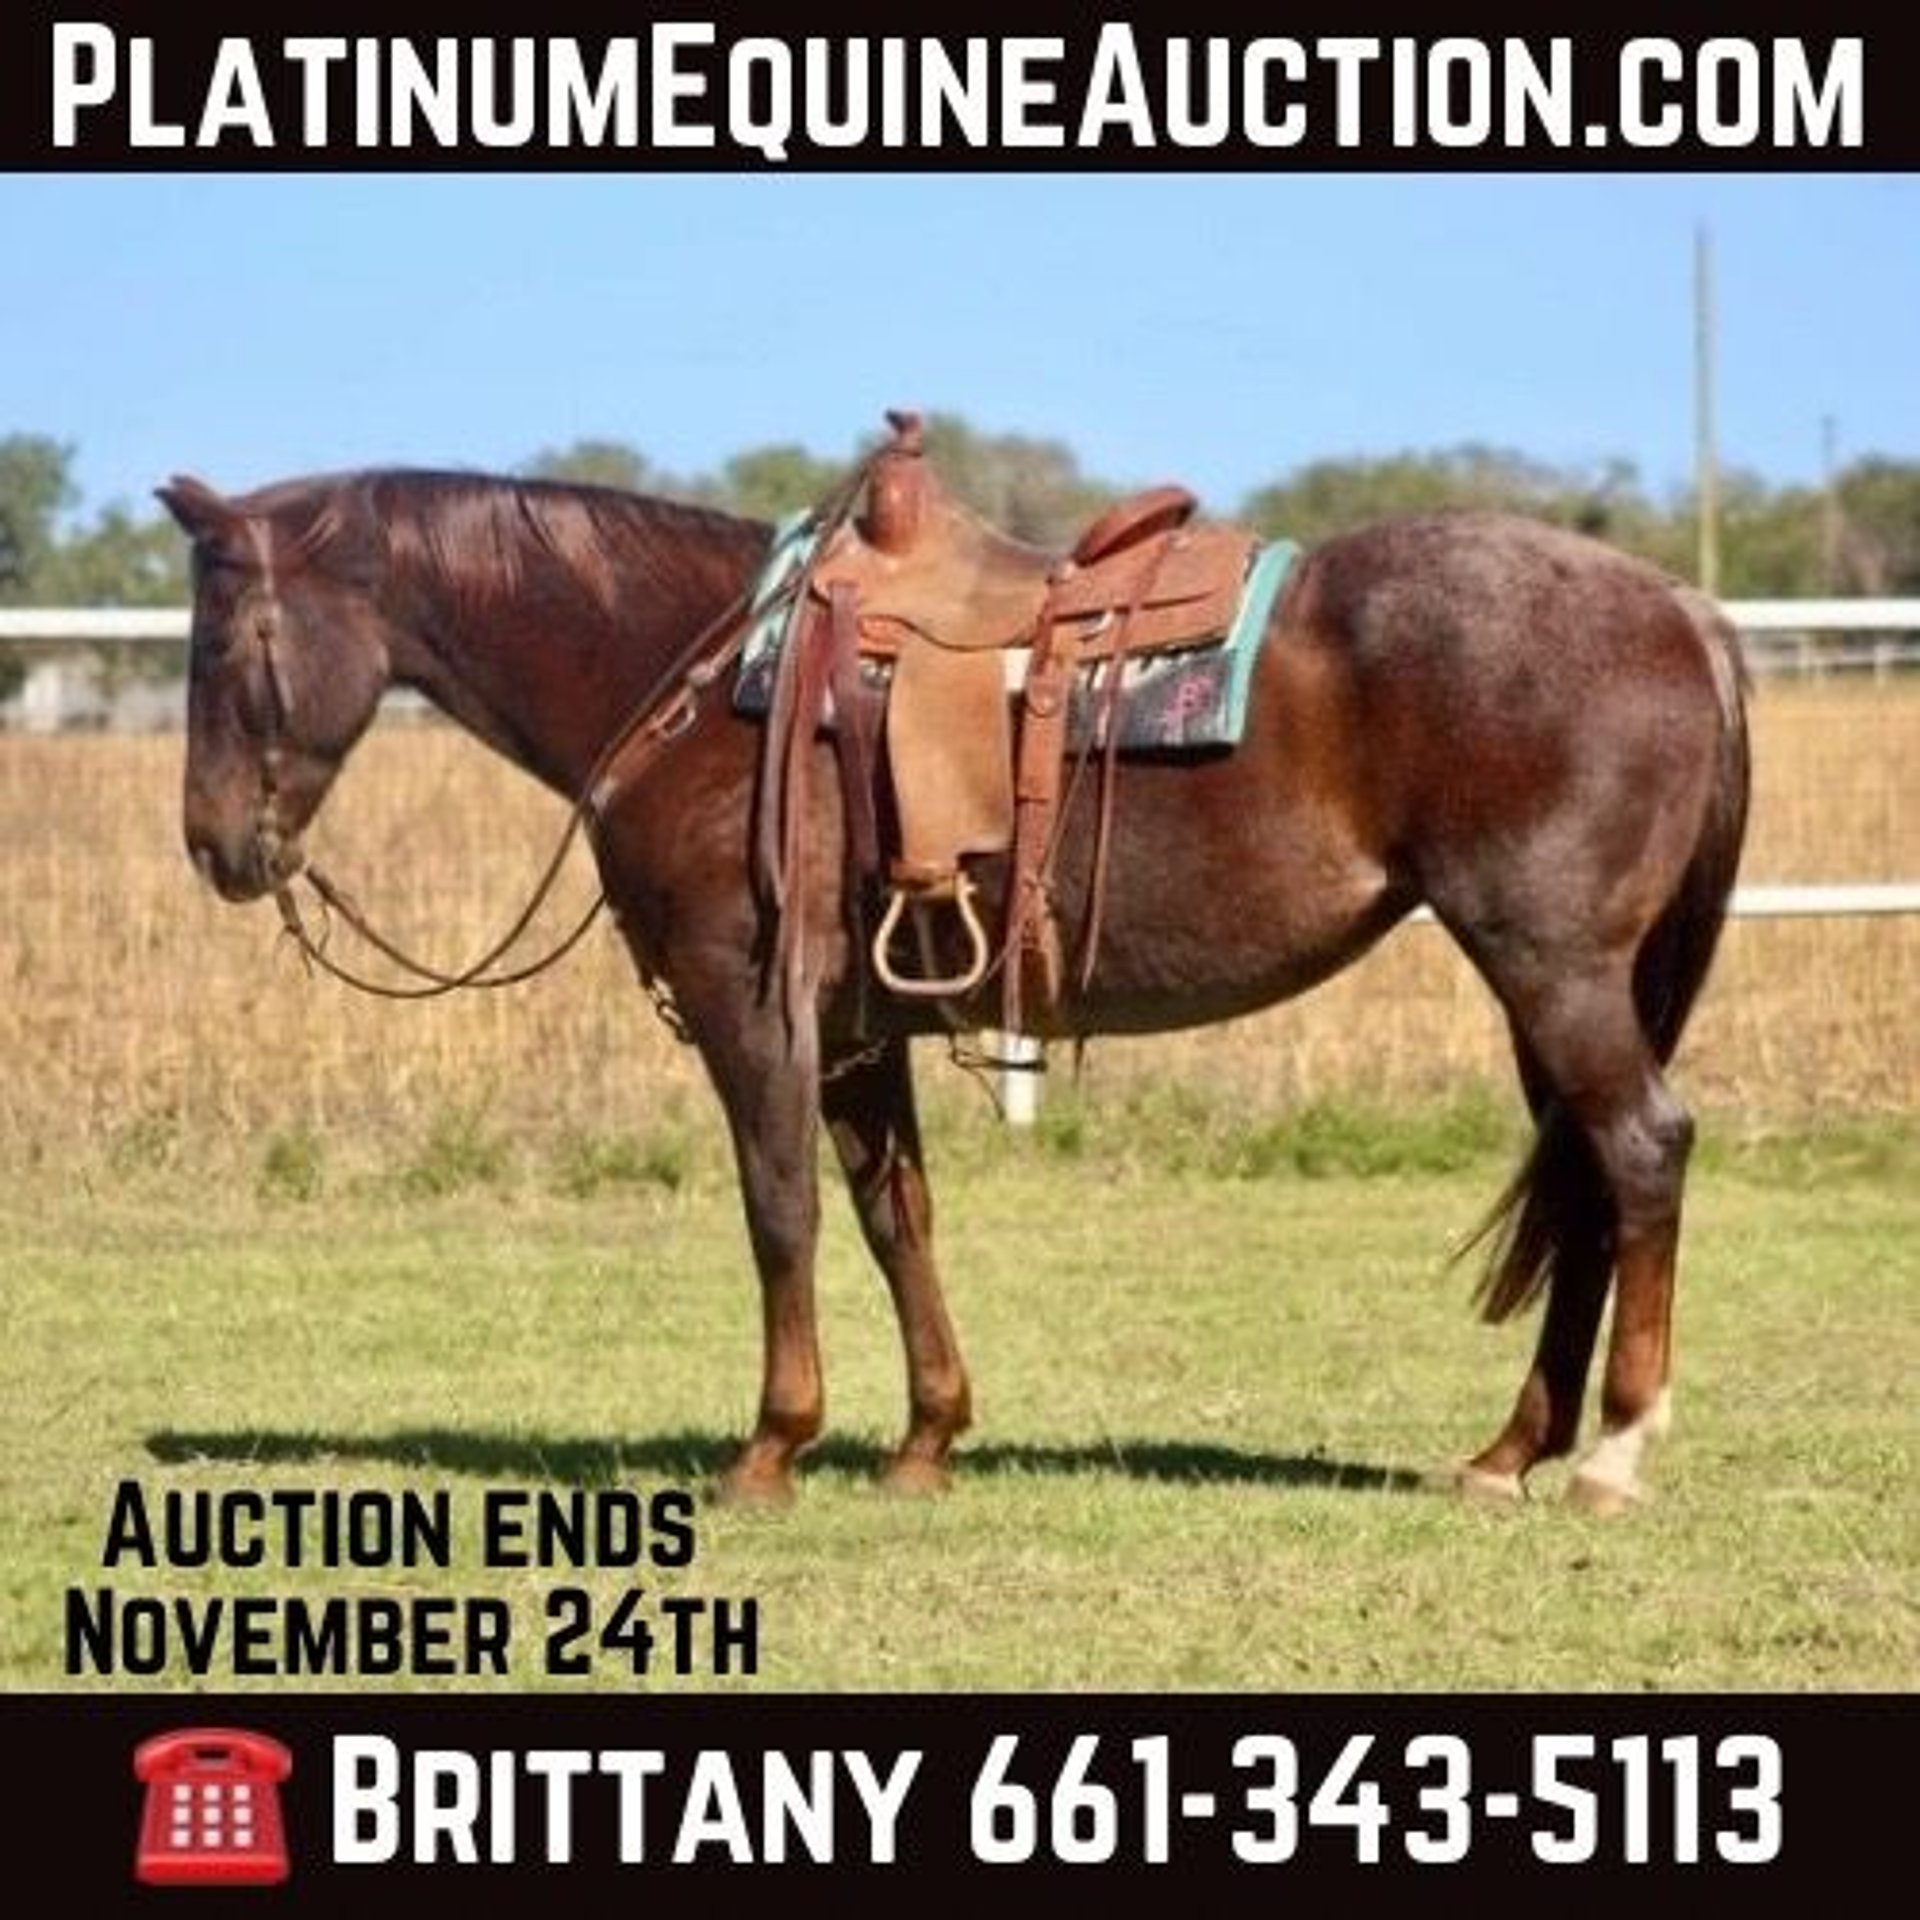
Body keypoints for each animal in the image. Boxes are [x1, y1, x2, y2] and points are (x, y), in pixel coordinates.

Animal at [157, 443, 1751, 1516]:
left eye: (229, 639)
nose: (216, 847)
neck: (703, 679)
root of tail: (1682, 608)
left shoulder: (754, 1008)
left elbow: (783, 1214)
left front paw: (772, 1447)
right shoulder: (866, 1030)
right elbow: (893, 1217)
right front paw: (926, 1440)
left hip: (1552, 966)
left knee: (1639, 1151)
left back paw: (1612, 1455)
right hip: (1553, 983)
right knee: (1587, 1178)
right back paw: (1509, 1452)